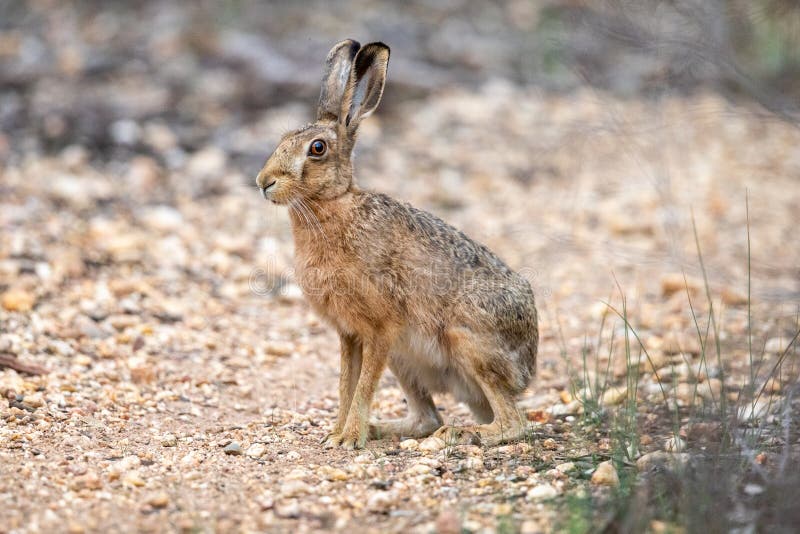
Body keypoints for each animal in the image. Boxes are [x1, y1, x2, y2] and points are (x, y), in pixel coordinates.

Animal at [255, 39, 538, 449]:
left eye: (317, 148)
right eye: (281, 141)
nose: (264, 182)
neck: (335, 204)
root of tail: (527, 369)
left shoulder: (380, 329)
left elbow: (362, 387)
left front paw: (348, 439)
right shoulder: (350, 334)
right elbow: (346, 385)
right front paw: (336, 434)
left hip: (465, 341)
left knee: (514, 423)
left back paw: (464, 432)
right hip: (404, 358)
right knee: (426, 418)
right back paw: (382, 429)